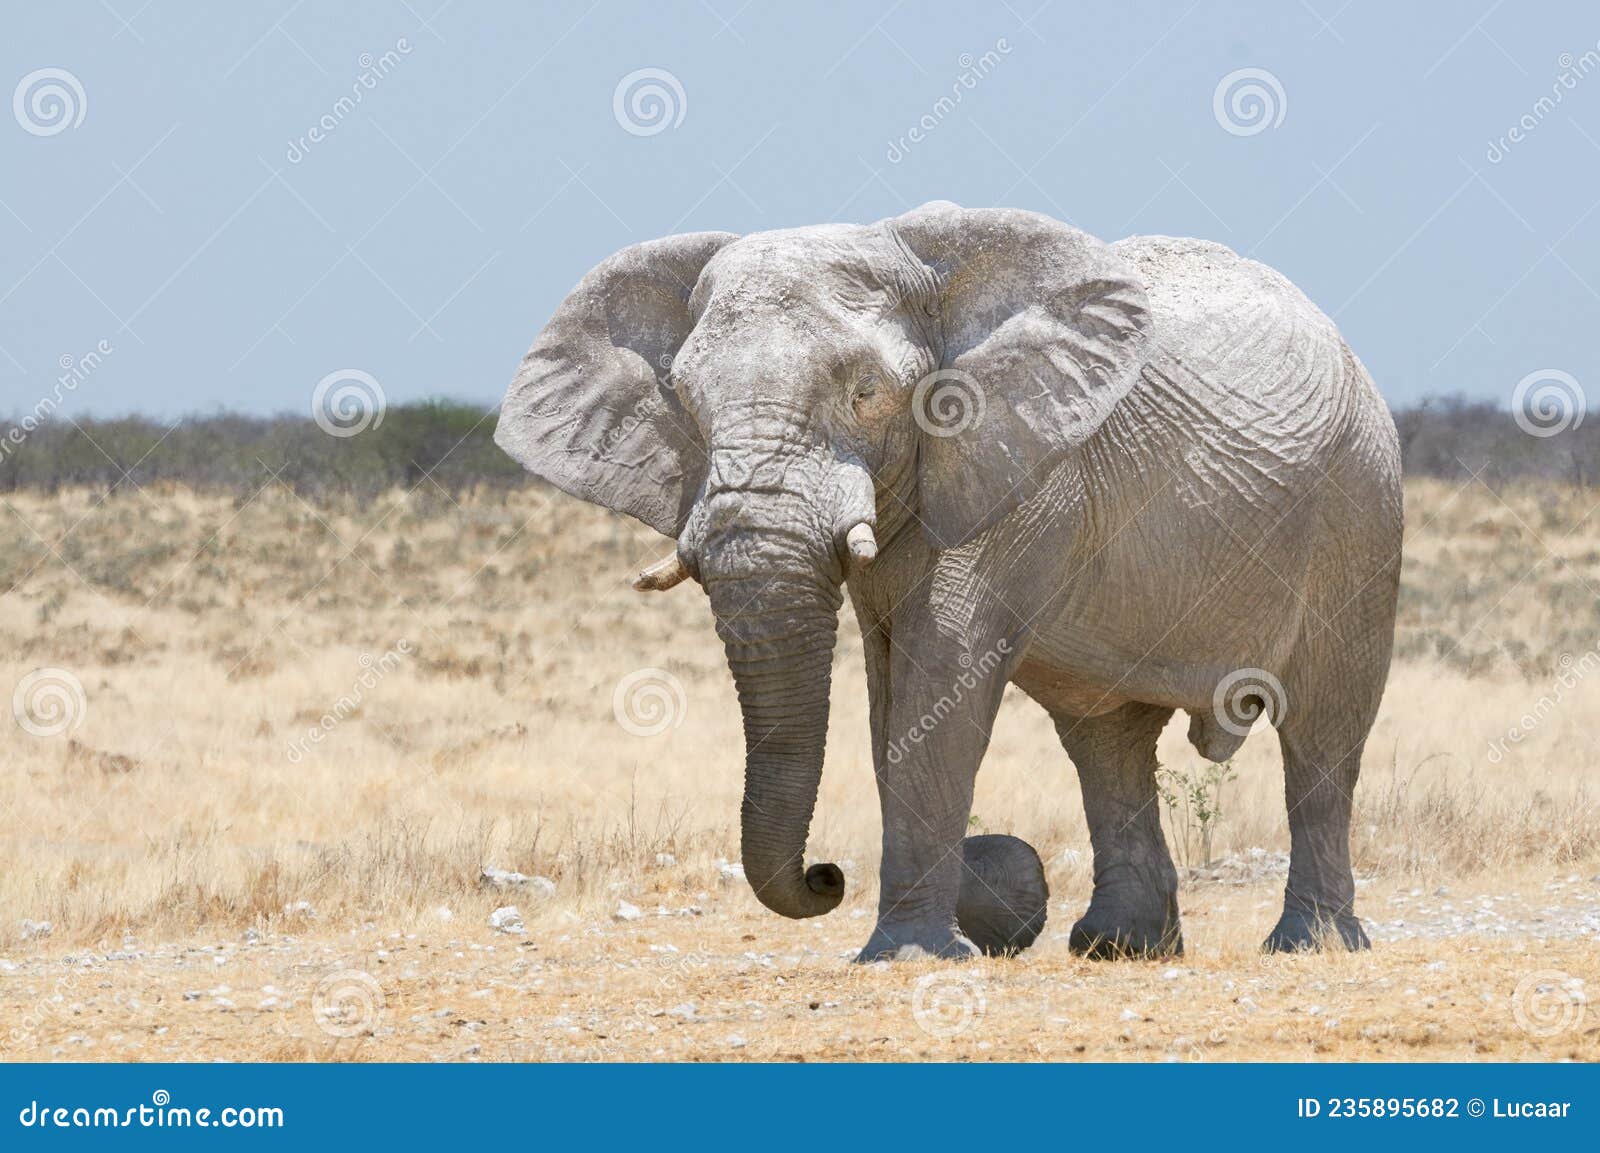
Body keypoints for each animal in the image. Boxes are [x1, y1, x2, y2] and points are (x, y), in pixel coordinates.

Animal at [495, 201, 1402, 962]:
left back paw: (1309, 945)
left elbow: (942, 676)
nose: (826, 874)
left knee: (1323, 728)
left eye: (866, 393)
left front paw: (910, 956)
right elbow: (887, 695)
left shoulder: (1018, 465)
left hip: (1358, 506)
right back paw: (1120, 948)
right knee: (1106, 740)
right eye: (685, 398)